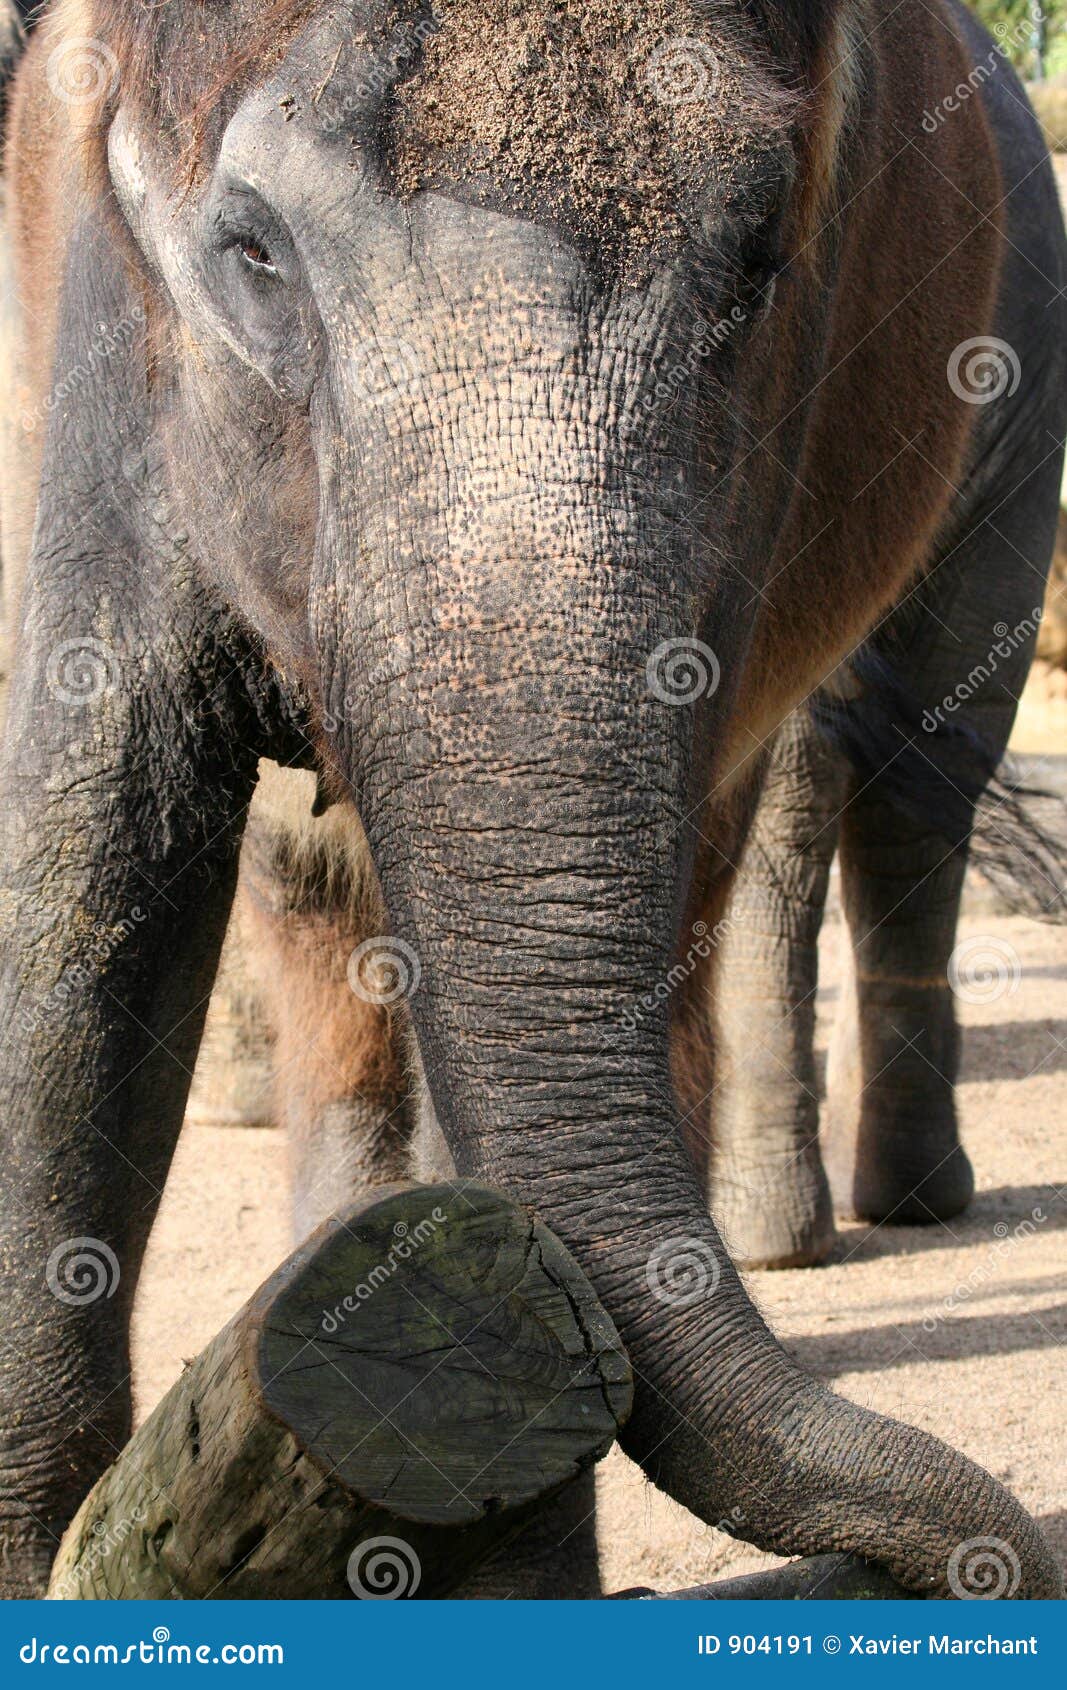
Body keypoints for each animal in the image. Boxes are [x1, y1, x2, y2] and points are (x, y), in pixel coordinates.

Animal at [0, 0, 1064, 1601]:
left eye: (759, 256)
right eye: (251, 249)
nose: (984, 1552)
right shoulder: (84, 318)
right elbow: (91, 837)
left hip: (1011, 389)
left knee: (884, 780)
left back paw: (858, 1212)